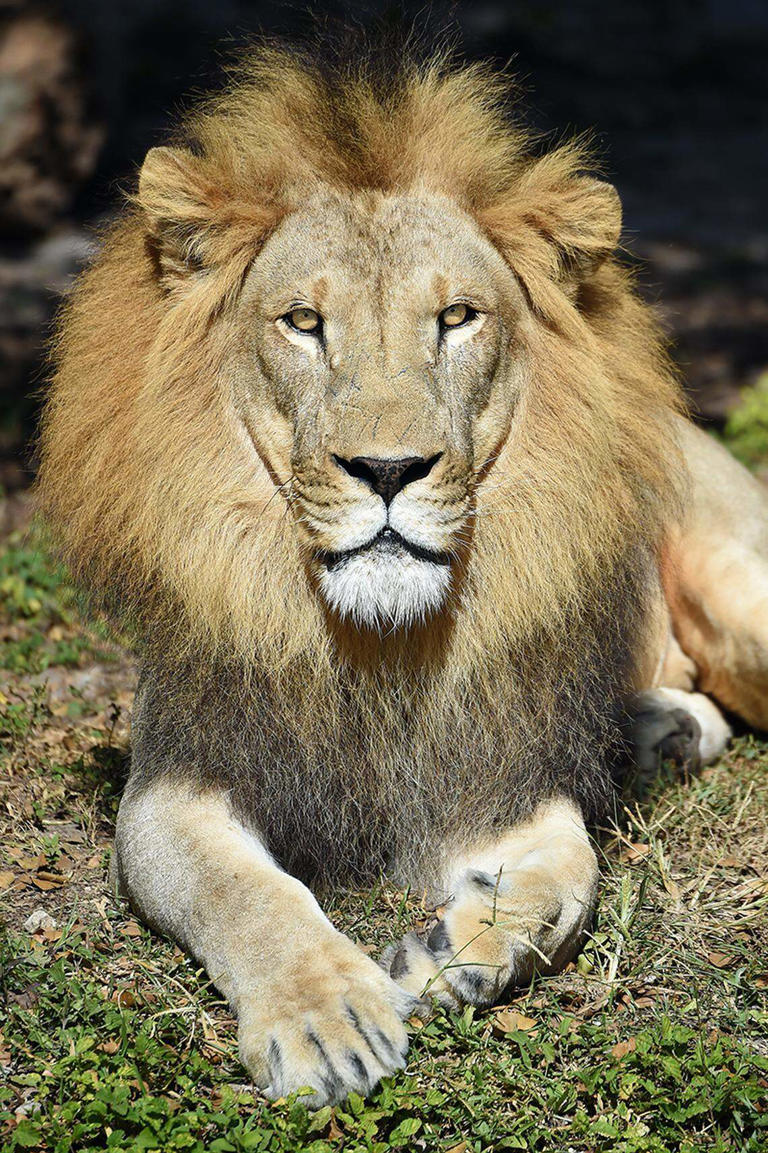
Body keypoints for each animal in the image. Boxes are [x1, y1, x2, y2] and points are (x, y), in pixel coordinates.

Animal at [37, 43, 768, 1106]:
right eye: (303, 322)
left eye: (457, 317)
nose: (388, 470)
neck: (380, 642)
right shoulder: (175, 783)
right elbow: (247, 892)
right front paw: (327, 1021)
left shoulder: (504, 782)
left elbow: (569, 876)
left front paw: (453, 951)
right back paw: (653, 730)